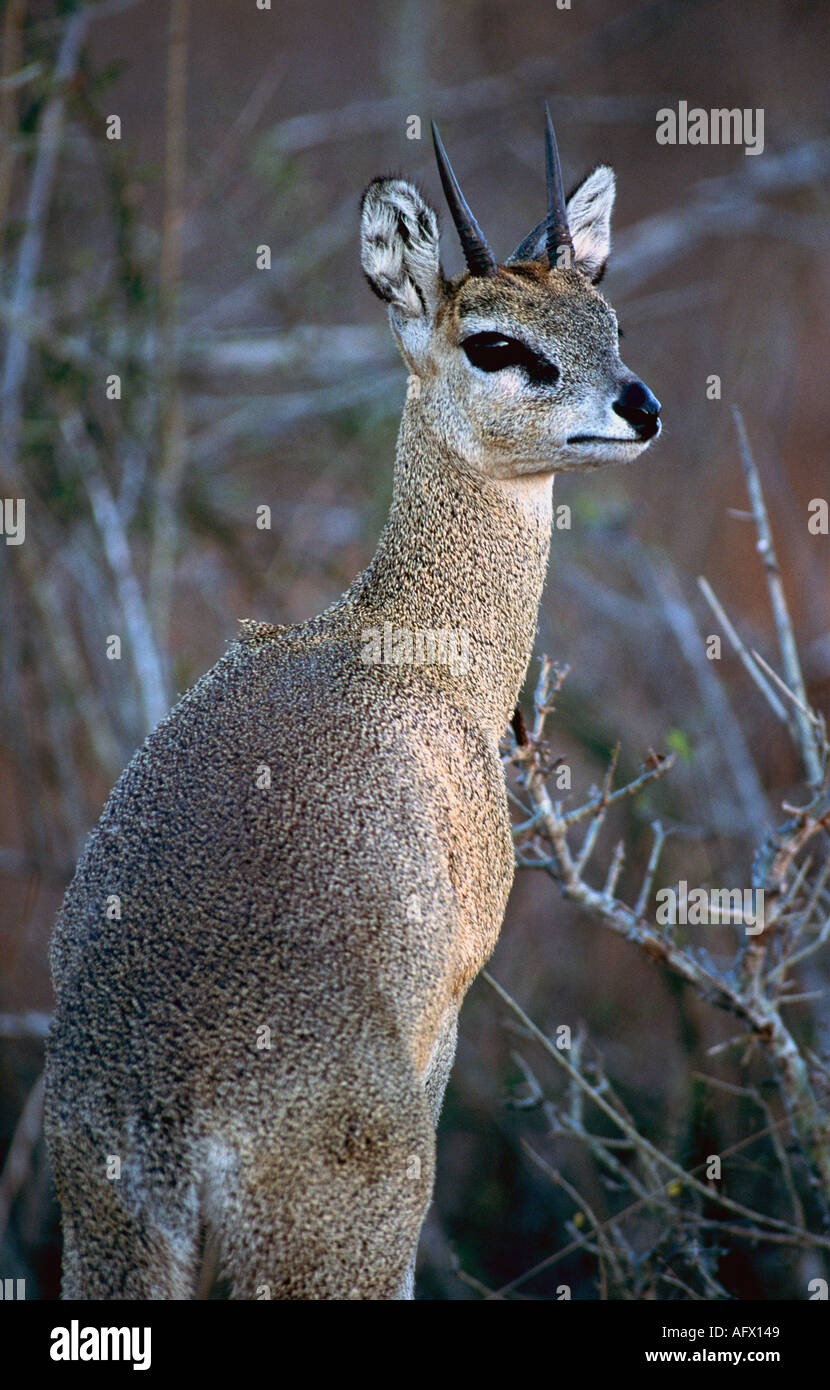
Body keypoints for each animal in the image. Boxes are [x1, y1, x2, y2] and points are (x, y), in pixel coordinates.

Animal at [44, 107, 661, 1300]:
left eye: (604, 315)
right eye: (494, 342)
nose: (641, 404)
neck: (416, 649)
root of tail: (165, 1126)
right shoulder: (452, 1007)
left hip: (103, 1253)